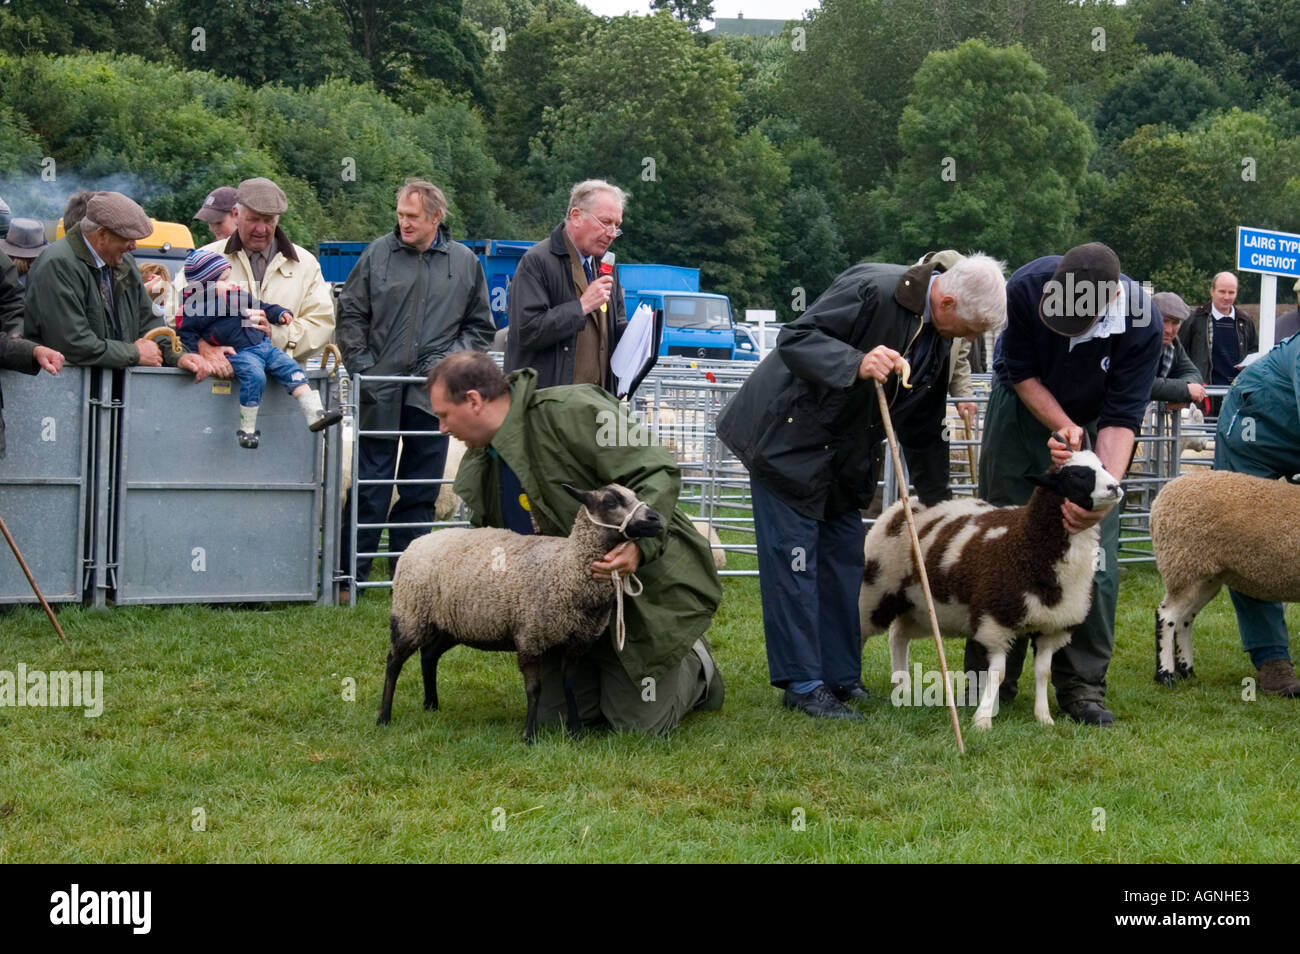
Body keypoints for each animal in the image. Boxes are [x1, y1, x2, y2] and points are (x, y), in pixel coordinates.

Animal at [377, 483, 663, 742]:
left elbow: (569, 686)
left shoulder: (576, 643)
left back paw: (431, 704)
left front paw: (575, 731)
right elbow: (534, 689)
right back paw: (384, 717)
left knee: (429, 655)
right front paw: (529, 735)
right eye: (611, 502)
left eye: (635, 495)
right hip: (411, 615)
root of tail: (417, 542)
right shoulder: (530, 639)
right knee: (393, 661)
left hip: (450, 624)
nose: (655, 519)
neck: (566, 568)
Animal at [858, 451, 1123, 729]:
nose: (1115, 487)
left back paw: (903, 688)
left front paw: (1043, 717)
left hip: (921, 608)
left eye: (1103, 466)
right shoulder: (995, 621)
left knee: (898, 635)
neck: (1027, 542)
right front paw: (983, 718)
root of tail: (904, 502)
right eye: (1075, 475)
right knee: (860, 631)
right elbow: (998, 673)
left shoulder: (1052, 626)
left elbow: (1043, 672)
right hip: (876, 591)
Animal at [1150, 469, 1300, 687]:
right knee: (1166, 616)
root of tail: (1163, 494)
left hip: (1204, 576)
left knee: (1184, 619)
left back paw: (1186, 670)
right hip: (1183, 565)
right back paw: (1166, 675)